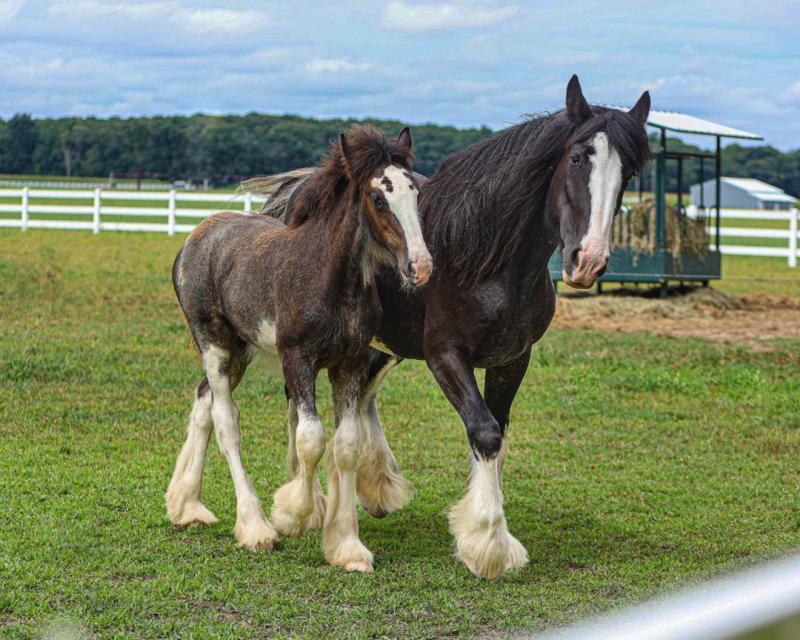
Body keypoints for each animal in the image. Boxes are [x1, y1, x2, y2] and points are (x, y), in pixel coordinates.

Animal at [165, 124, 432, 572]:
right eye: (378, 197)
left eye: (415, 191)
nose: (421, 266)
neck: (328, 278)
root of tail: (195, 237)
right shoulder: (298, 360)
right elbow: (310, 439)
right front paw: (292, 515)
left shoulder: (350, 364)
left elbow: (346, 445)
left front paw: (346, 546)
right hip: (214, 344)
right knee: (225, 420)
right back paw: (254, 527)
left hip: (240, 350)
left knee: (203, 404)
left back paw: (188, 506)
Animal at [251, 76, 651, 579]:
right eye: (578, 158)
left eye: (628, 173)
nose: (588, 261)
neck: (485, 259)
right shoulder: (445, 356)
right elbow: (484, 431)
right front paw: (488, 542)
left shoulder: (512, 359)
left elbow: (498, 434)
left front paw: (484, 529)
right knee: (303, 406)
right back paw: (309, 505)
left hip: (386, 344)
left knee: (364, 396)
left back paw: (376, 485)